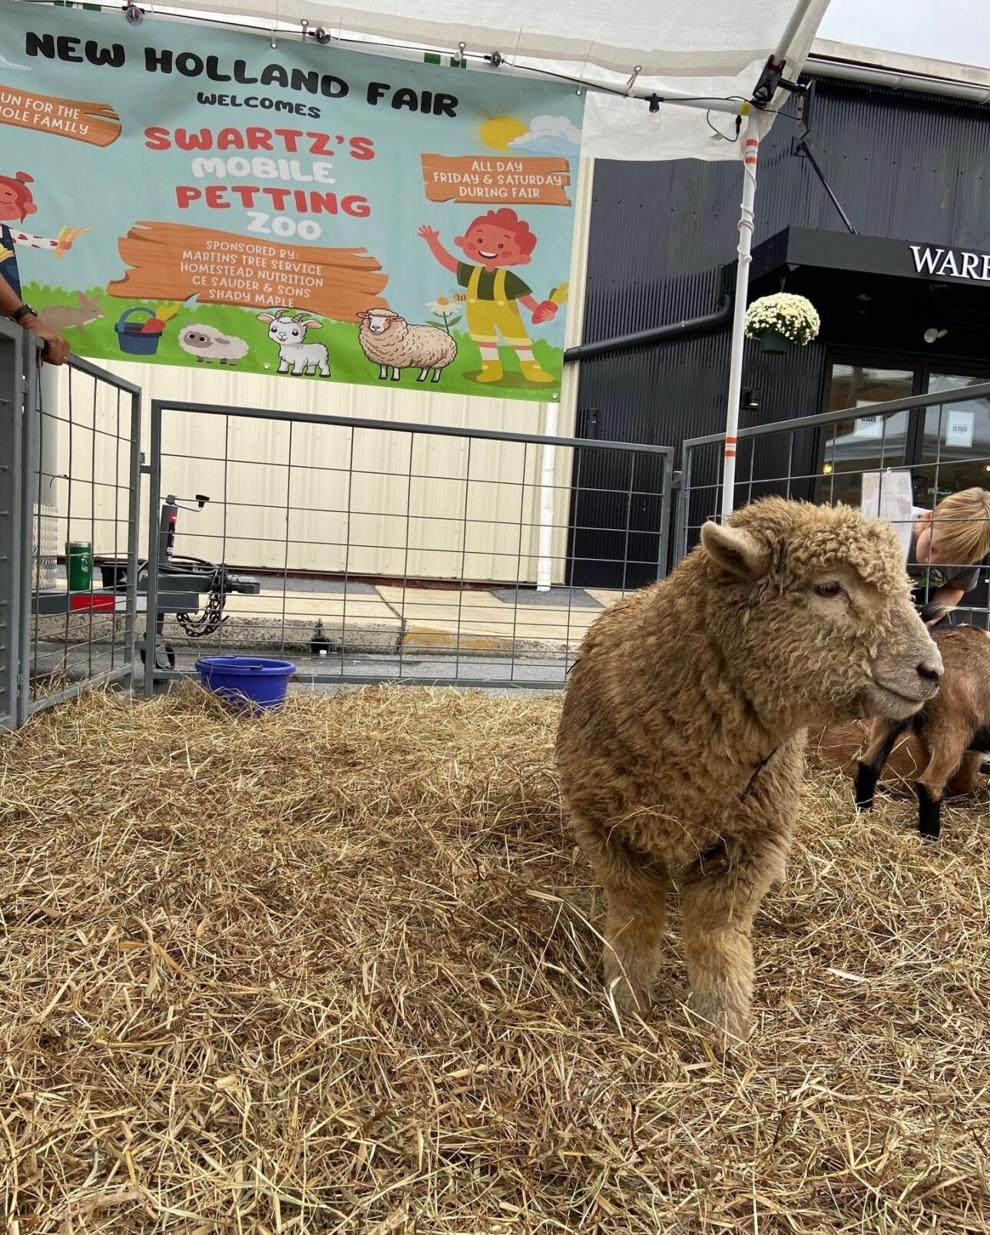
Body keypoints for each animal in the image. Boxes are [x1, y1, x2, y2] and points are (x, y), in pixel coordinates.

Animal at [556, 497, 943, 1044]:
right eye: (828, 587)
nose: (933, 672)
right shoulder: (609, 829)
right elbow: (635, 918)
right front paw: (626, 1002)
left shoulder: (753, 842)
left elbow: (717, 935)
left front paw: (724, 1029)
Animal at [854, 622, 990, 838]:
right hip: (952, 728)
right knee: (929, 784)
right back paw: (931, 836)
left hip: (889, 719)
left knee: (869, 763)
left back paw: (864, 810)